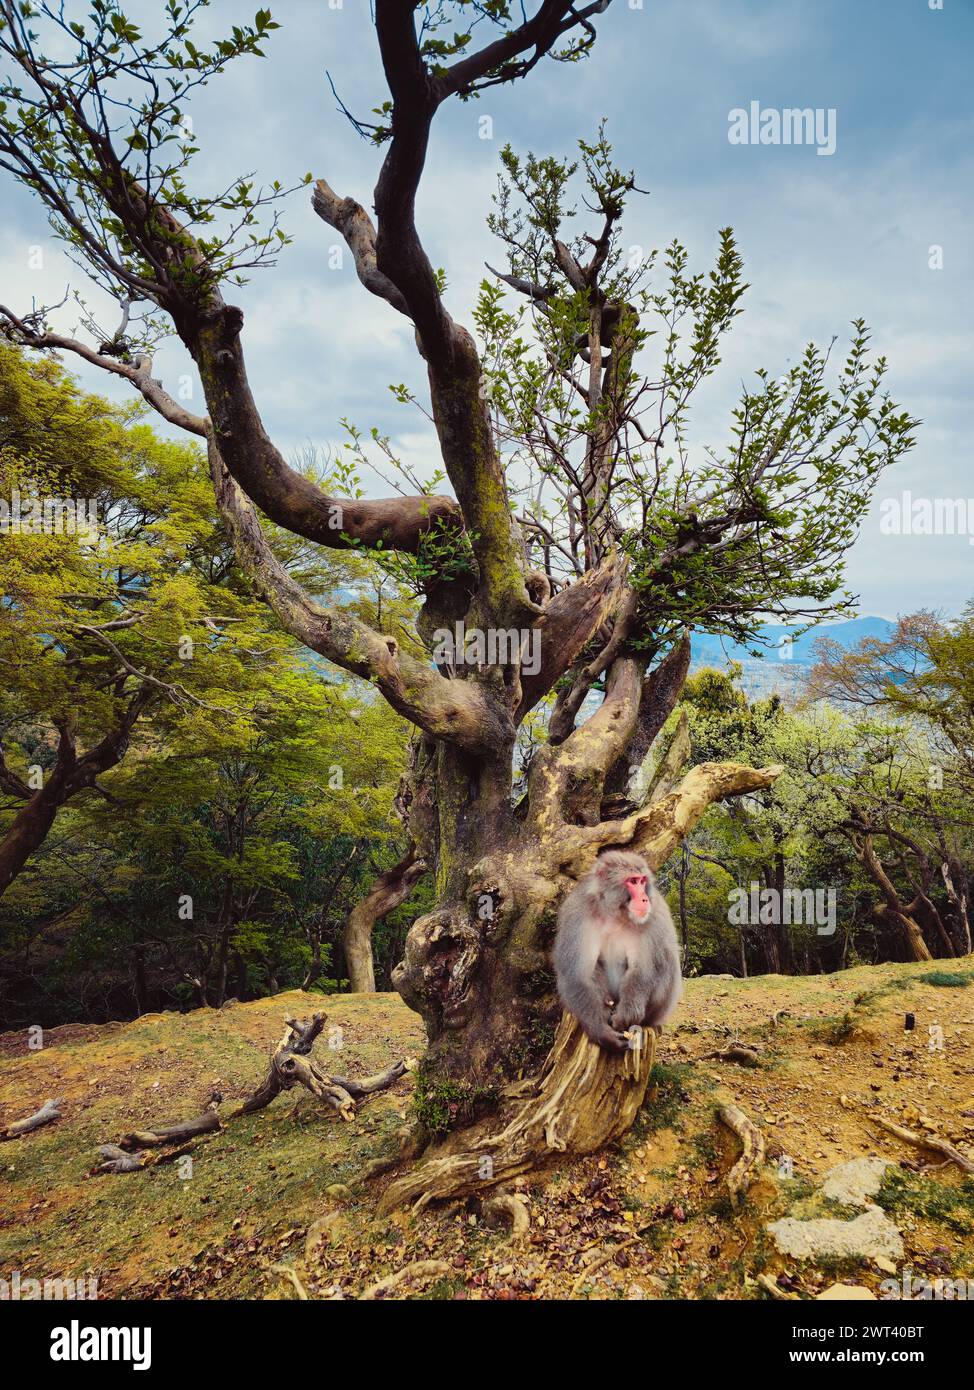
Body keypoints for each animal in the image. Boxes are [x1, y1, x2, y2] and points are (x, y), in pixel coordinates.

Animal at [552, 849, 682, 1052]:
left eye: (642, 880)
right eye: (633, 881)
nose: (644, 898)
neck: (615, 912)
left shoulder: (655, 914)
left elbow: (644, 969)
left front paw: (627, 1016)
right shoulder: (576, 913)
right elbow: (578, 974)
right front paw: (600, 1030)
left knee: (665, 960)